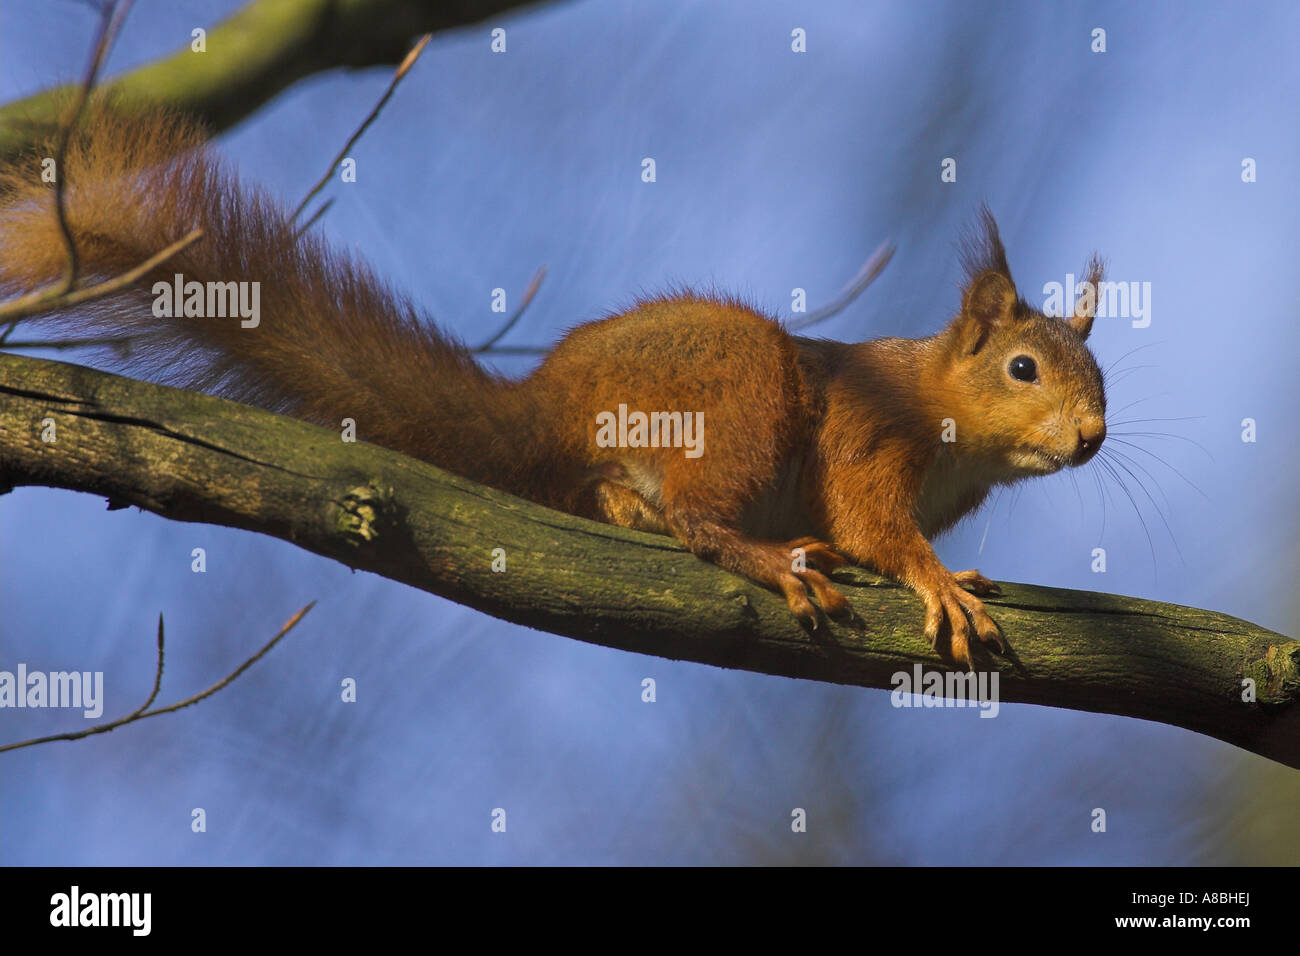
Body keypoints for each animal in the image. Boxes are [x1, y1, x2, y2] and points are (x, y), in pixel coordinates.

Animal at [0, 108, 1108, 668]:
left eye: (1101, 376)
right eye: (1022, 368)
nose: (1092, 437)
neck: (947, 416)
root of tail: (546, 407)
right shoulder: (870, 435)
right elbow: (871, 517)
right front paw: (931, 578)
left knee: (620, 497)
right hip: (744, 390)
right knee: (700, 517)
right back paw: (761, 552)